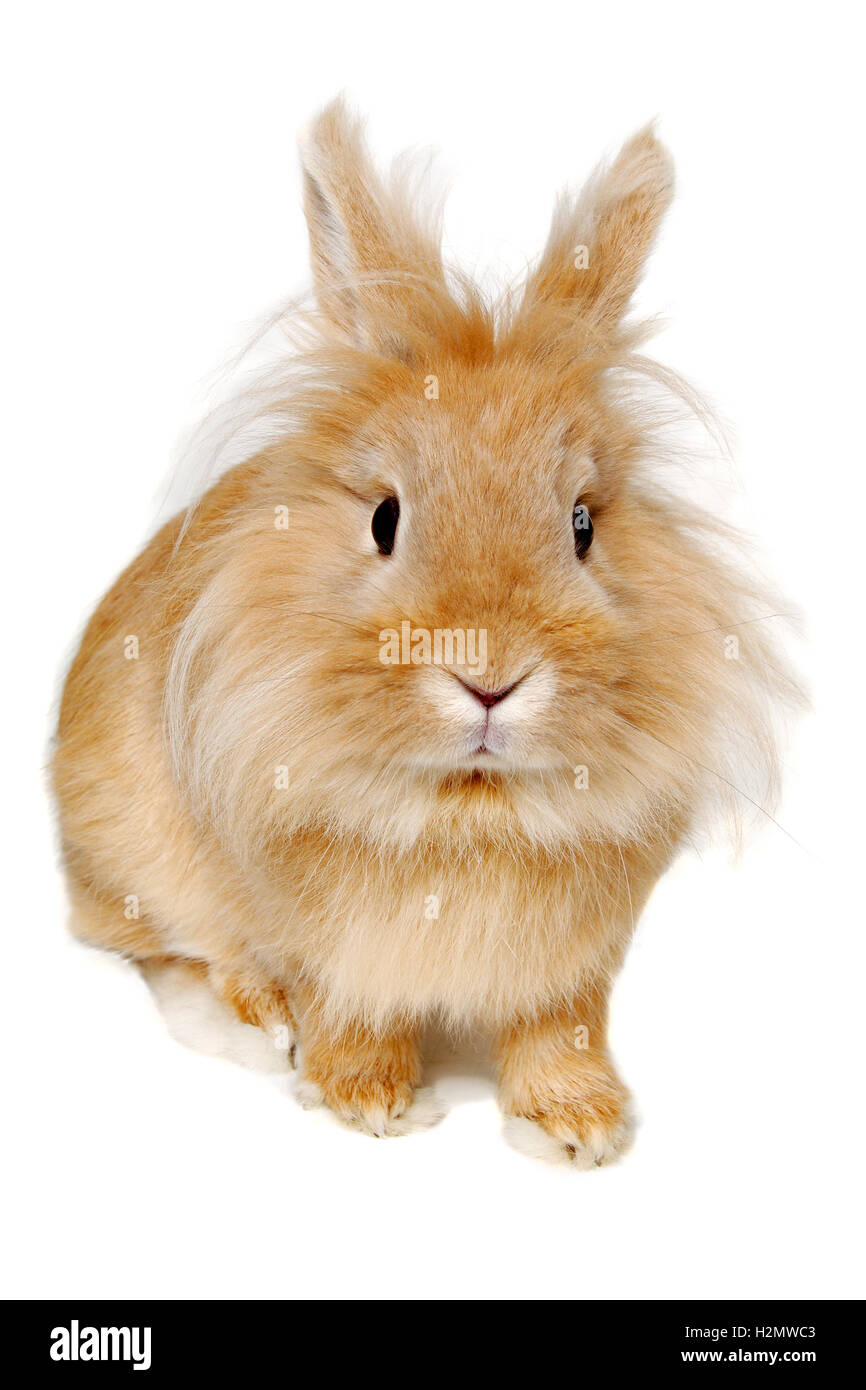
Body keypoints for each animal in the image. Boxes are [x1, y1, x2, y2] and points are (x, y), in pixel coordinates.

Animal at [52, 99, 801, 1165]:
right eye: (384, 519)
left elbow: (561, 1026)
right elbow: (342, 1003)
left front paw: (582, 1128)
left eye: (583, 525)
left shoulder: (575, 963)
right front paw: (369, 1102)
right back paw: (256, 1023)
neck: (467, 807)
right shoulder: (321, 933)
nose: (489, 679)